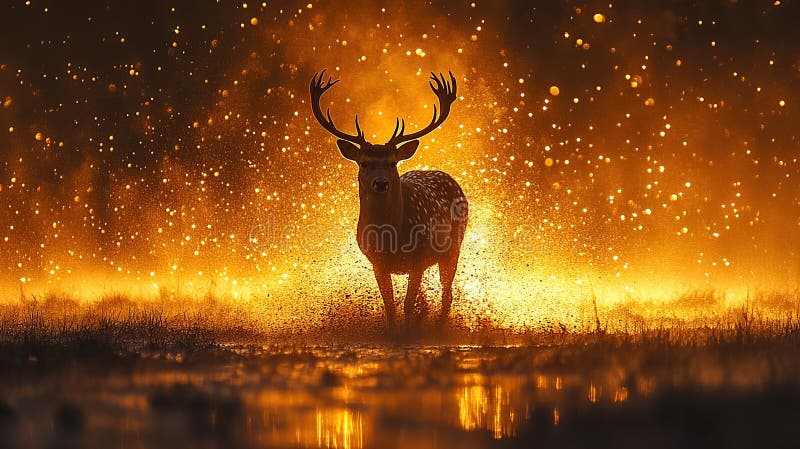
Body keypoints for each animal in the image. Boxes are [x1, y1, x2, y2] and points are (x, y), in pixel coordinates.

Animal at [309, 70, 469, 329]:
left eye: (393, 162)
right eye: (364, 162)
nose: (381, 183)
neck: (391, 238)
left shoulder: (418, 259)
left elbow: (407, 305)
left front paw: (407, 334)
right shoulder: (377, 263)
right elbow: (391, 306)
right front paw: (394, 332)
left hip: (453, 245)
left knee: (447, 294)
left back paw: (439, 327)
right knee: (428, 299)